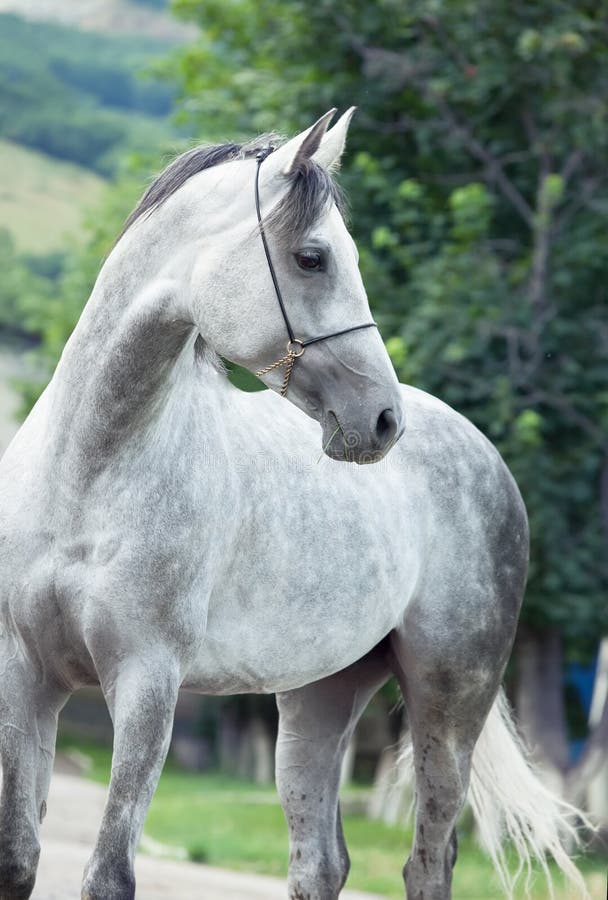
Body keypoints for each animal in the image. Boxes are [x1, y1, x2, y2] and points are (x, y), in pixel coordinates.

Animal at [0, 109, 586, 900]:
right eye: (312, 258)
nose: (382, 421)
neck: (87, 476)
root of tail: (485, 456)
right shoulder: (24, 677)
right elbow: (18, 858)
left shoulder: (147, 683)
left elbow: (109, 873)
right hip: (322, 695)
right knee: (320, 860)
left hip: (448, 701)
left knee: (429, 860)